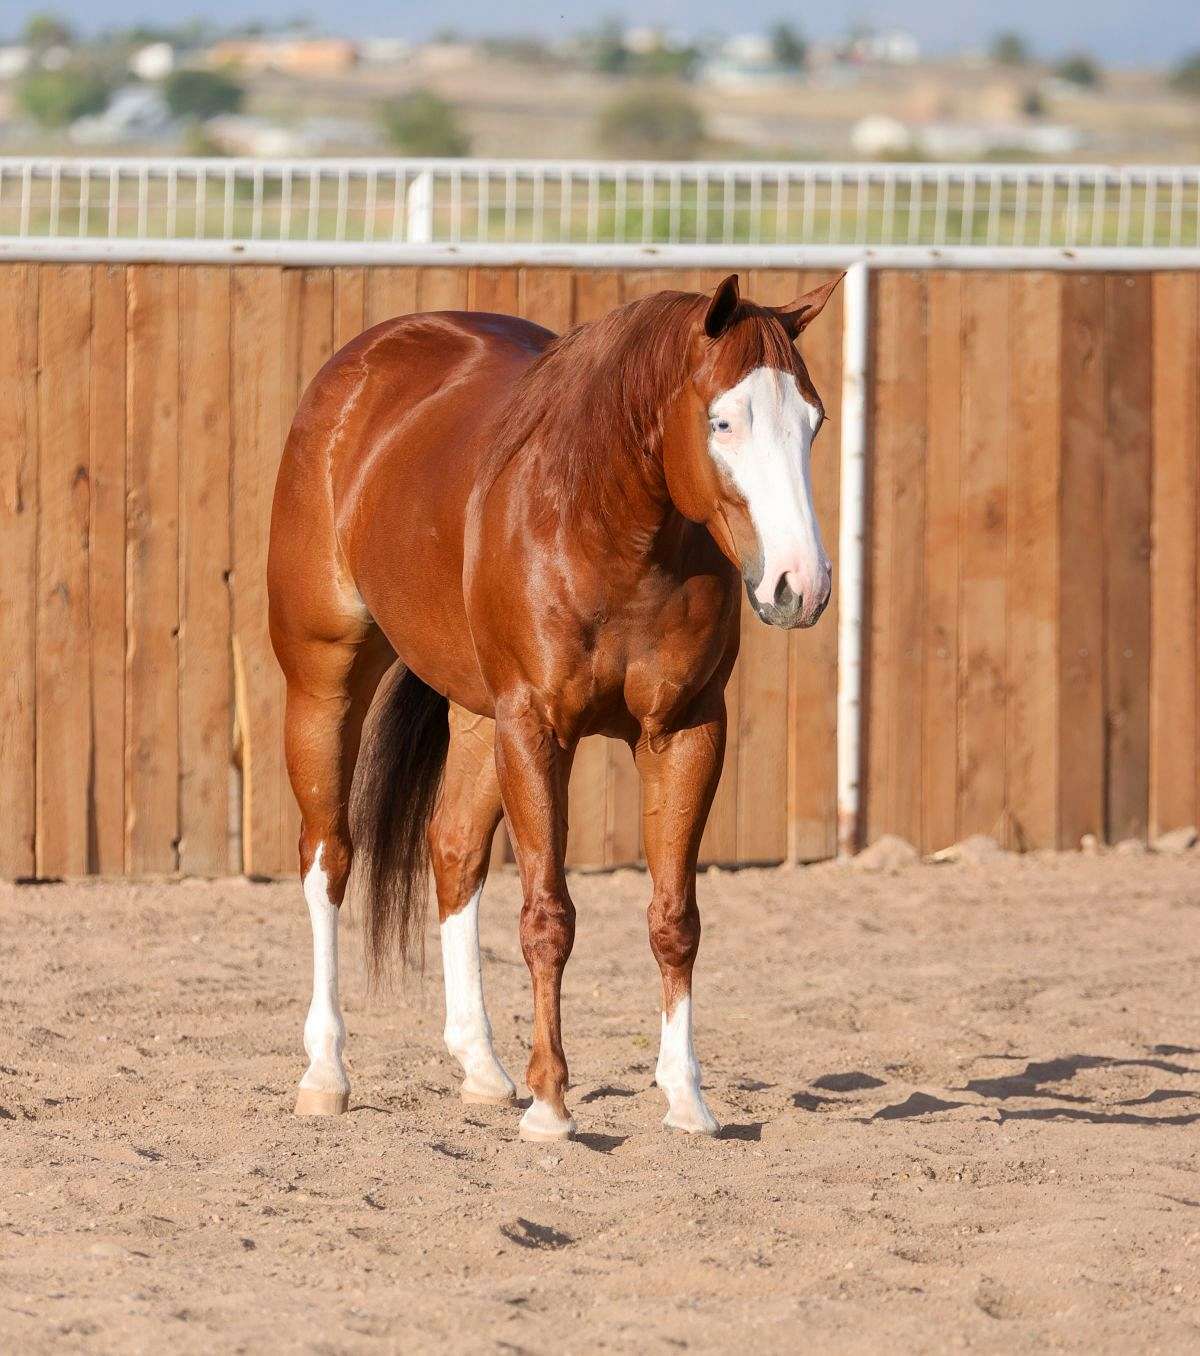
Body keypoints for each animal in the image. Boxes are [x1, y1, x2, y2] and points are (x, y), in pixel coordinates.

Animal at [267, 271, 842, 1141]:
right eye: (723, 420)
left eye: (812, 420)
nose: (799, 586)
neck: (607, 528)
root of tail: (359, 370)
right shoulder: (537, 730)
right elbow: (549, 918)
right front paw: (550, 1105)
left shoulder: (685, 731)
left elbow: (676, 919)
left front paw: (685, 1097)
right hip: (325, 679)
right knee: (328, 856)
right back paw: (326, 1071)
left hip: (480, 720)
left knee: (453, 851)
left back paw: (480, 1065)